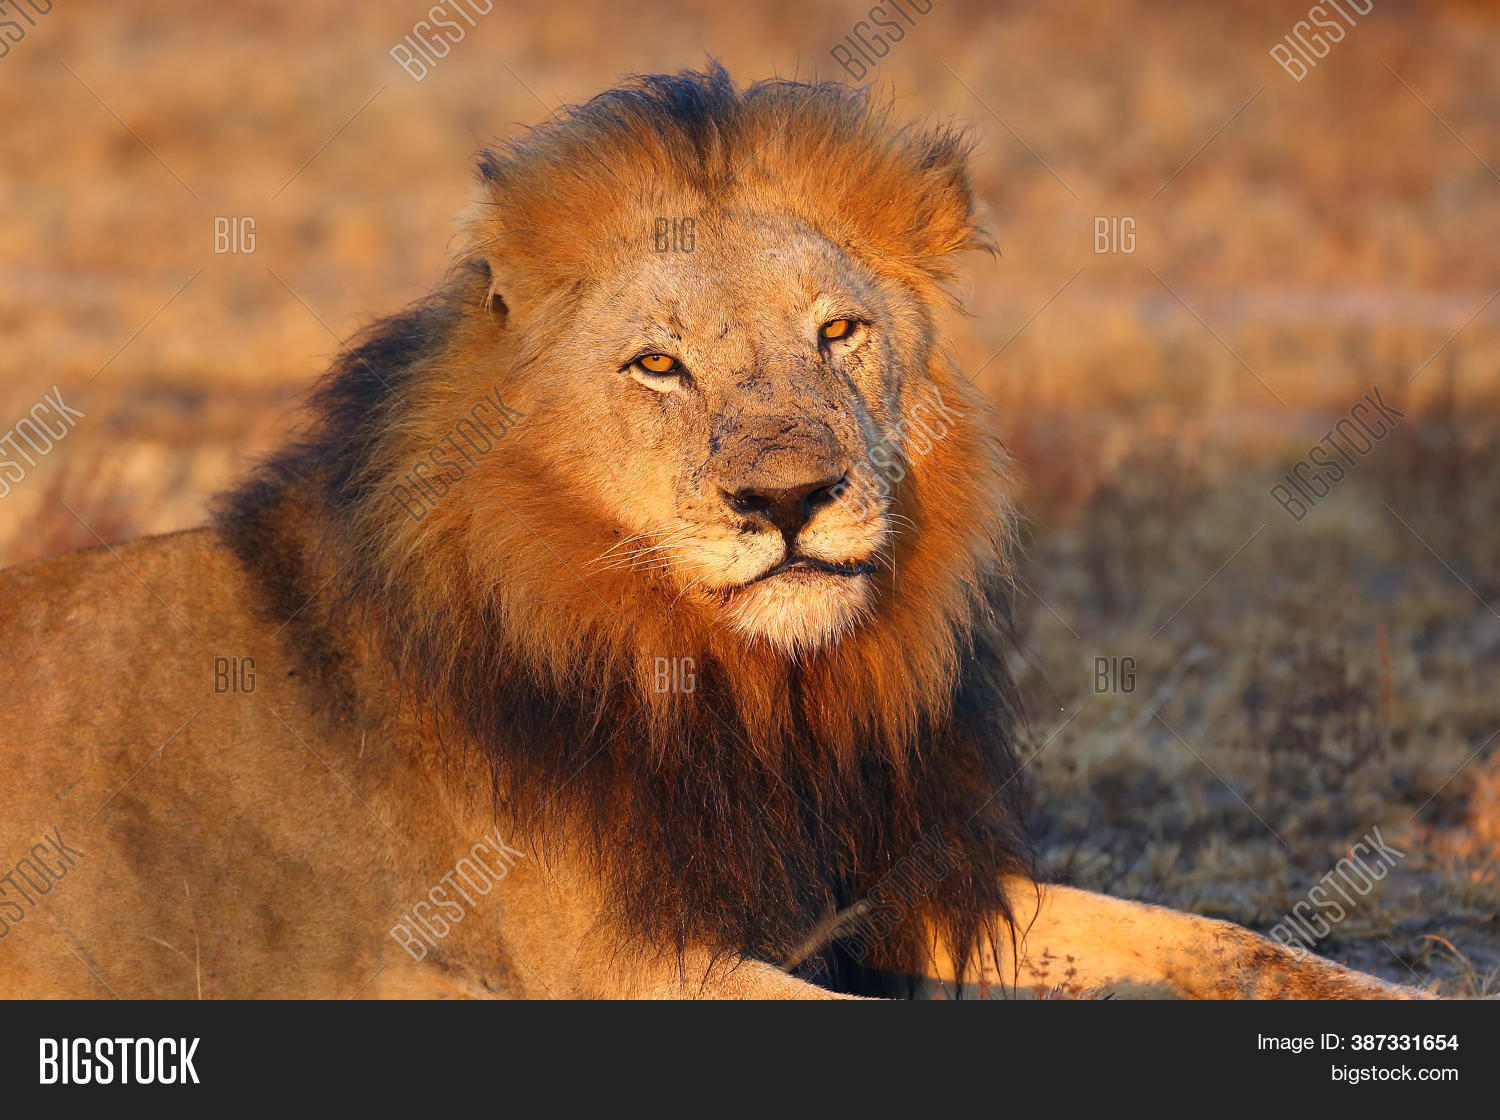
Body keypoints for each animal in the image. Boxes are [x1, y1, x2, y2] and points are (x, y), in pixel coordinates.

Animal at [0, 67, 1414, 999]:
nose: (789, 499)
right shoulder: (605, 962)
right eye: (659, 365)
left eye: (836, 332)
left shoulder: (894, 882)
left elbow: (1226, 937)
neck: (762, 697)